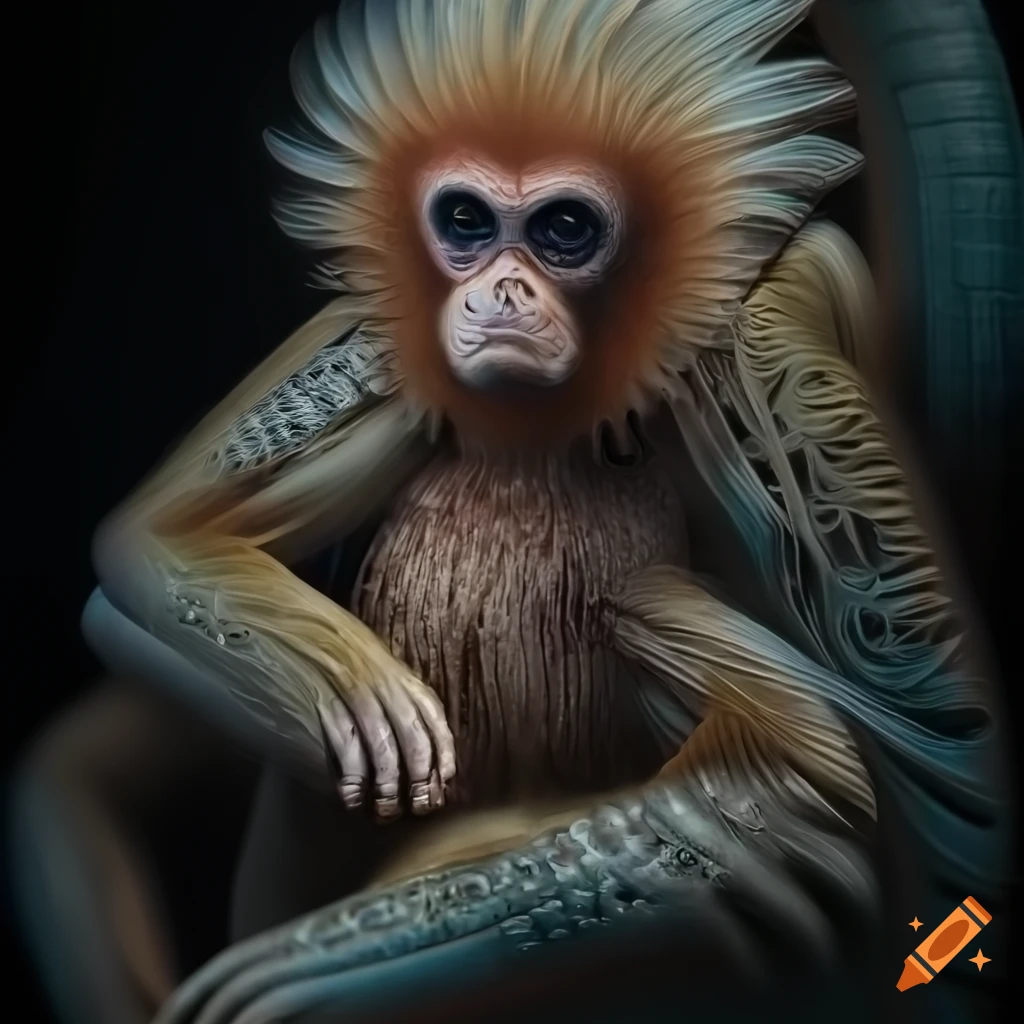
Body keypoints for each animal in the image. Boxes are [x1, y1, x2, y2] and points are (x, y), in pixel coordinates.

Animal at [11, 2, 1018, 1023]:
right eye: (465, 219)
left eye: (565, 228)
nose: (500, 291)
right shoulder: (371, 327)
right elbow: (152, 538)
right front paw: (344, 682)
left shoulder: (772, 335)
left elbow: (867, 774)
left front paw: (308, 968)